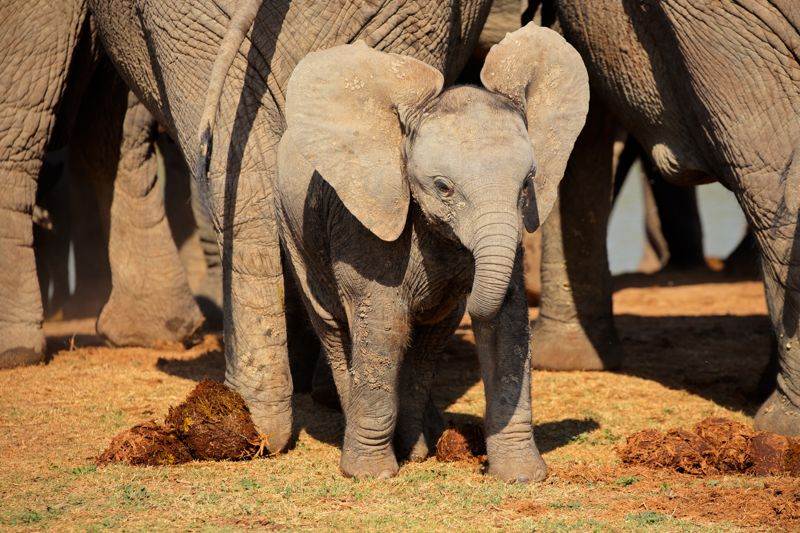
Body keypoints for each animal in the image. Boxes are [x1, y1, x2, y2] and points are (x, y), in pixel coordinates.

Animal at [274, 25, 589, 480]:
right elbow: (383, 325)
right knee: (333, 327)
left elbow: (508, 324)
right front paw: (370, 475)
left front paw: (521, 476)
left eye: (527, 183)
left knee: (429, 339)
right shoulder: (366, 218)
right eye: (443, 188)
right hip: (291, 226)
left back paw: (418, 449)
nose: (465, 286)